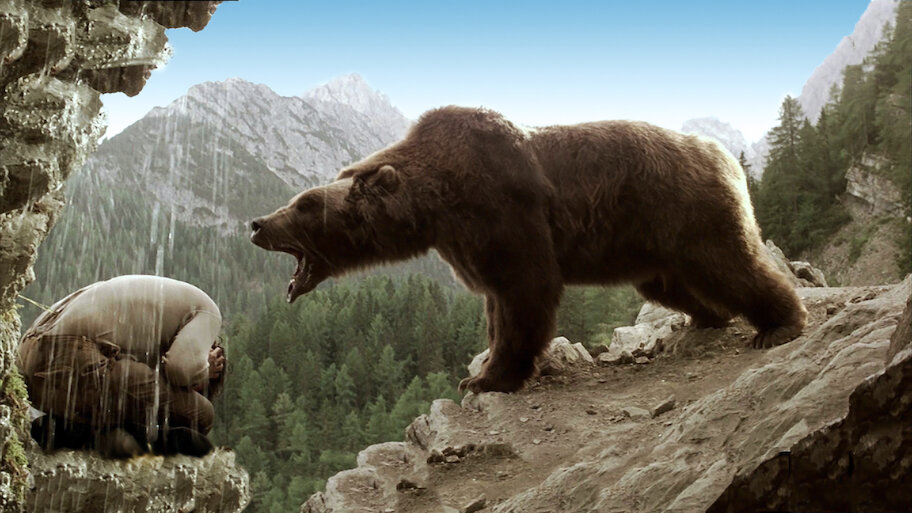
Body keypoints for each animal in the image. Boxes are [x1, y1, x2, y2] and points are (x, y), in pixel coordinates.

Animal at [250, 106, 807, 394]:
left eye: (304, 204)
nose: (256, 223)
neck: (434, 203)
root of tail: (721, 152)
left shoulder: (505, 210)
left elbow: (525, 293)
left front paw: (491, 378)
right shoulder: (466, 241)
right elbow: (496, 303)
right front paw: (478, 372)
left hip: (683, 209)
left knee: (730, 263)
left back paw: (778, 324)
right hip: (649, 244)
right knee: (674, 284)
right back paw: (704, 318)